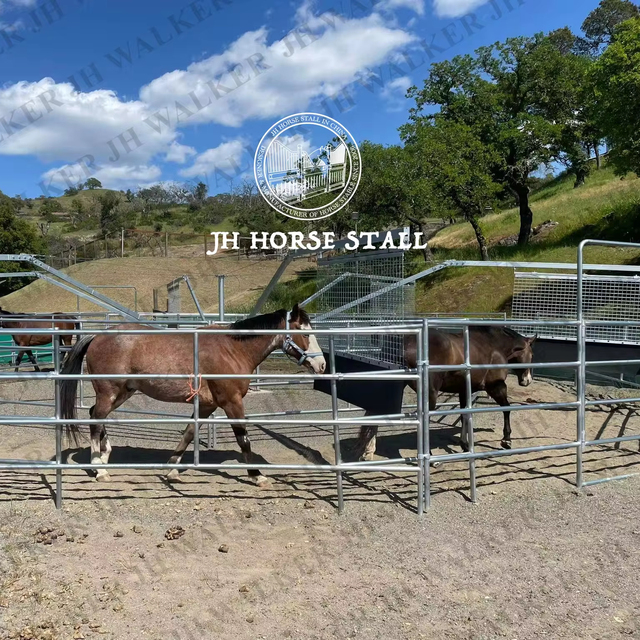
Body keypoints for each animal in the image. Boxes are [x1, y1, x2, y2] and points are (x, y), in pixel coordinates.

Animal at [59, 304, 326, 486]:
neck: (232, 350)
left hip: (123, 392)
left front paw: (172, 470)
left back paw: (105, 456)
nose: (322, 365)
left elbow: (188, 434)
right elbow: (243, 438)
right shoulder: (231, 402)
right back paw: (100, 469)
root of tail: (97, 335)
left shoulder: (207, 405)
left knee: (95, 416)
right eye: (305, 333)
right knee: (96, 420)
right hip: (109, 392)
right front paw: (257, 475)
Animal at [356, 327, 536, 460]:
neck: (494, 346)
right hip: (430, 395)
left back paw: (366, 451)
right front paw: (506, 440)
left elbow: (465, 415)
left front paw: (464, 444)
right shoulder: (496, 386)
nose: (526, 380)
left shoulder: (464, 390)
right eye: (531, 354)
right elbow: (507, 408)